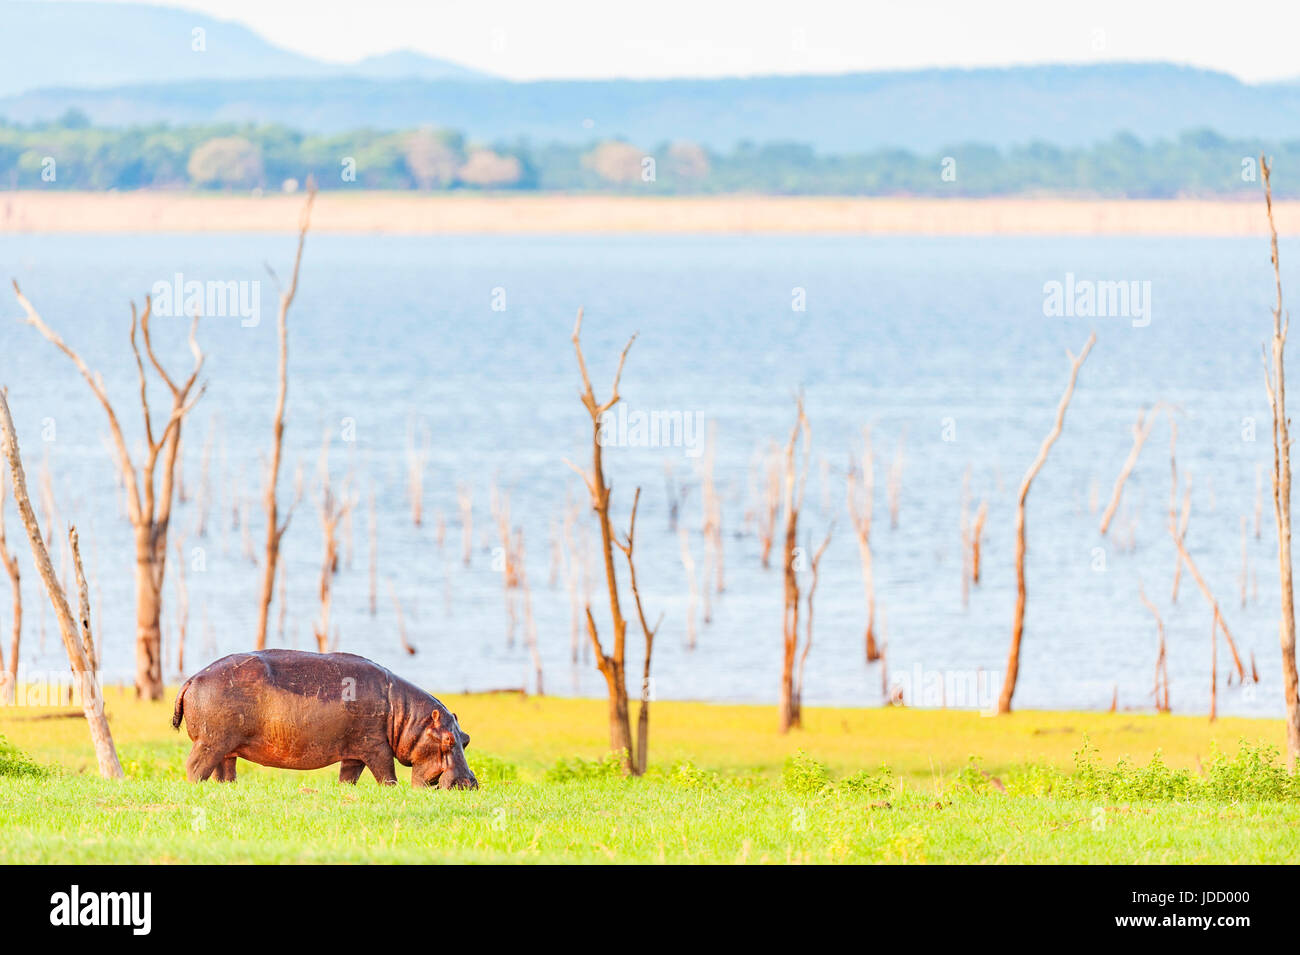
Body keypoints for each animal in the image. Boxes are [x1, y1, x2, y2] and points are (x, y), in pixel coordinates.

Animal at [171, 649, 477, 789]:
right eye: (448, 740)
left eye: (466, 739)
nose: (470, 784)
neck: (407, 716)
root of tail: (192, 678)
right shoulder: (375, 746)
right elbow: (386, 773)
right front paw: (392, 790)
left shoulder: (355, 751)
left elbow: (349, 776)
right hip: (211, 742)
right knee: (195, 766)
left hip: (226, 748)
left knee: (224, 771)